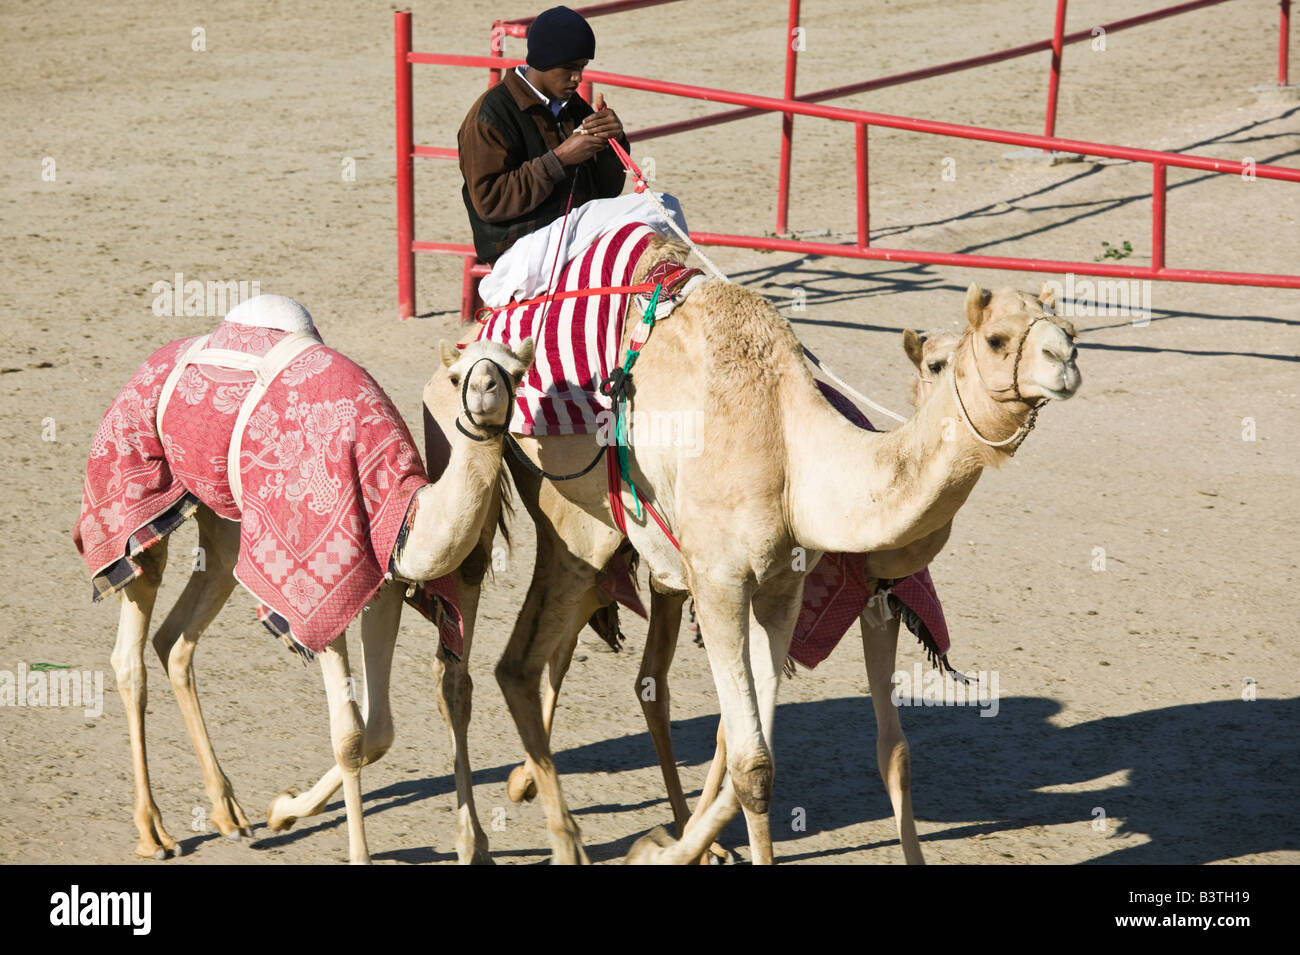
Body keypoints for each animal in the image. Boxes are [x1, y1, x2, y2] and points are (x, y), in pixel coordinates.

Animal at [86, 307, 533, 864]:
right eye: (456, 376)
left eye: (516, 373)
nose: (486, 389)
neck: (402, 509)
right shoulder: (321, 595)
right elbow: (349, 736)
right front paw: (352, 851)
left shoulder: (381, 588)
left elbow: (379, 731)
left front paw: (283, 810)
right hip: (133, 485)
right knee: (131, 647)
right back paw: (153, 831)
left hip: (226, 527)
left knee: (177, 640)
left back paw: (229, 814)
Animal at [423, 234, 1080, 864]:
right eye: (996, 339)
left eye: (1069, 329)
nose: (1066, 359)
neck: (791, 450)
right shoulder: (720, 583)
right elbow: (749, 760)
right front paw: (663, 848)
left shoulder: (781, 588)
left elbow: (763, 756)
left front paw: (682, 844)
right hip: (573, 526)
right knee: (512, 664)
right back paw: (541, 843)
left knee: (553, 664)